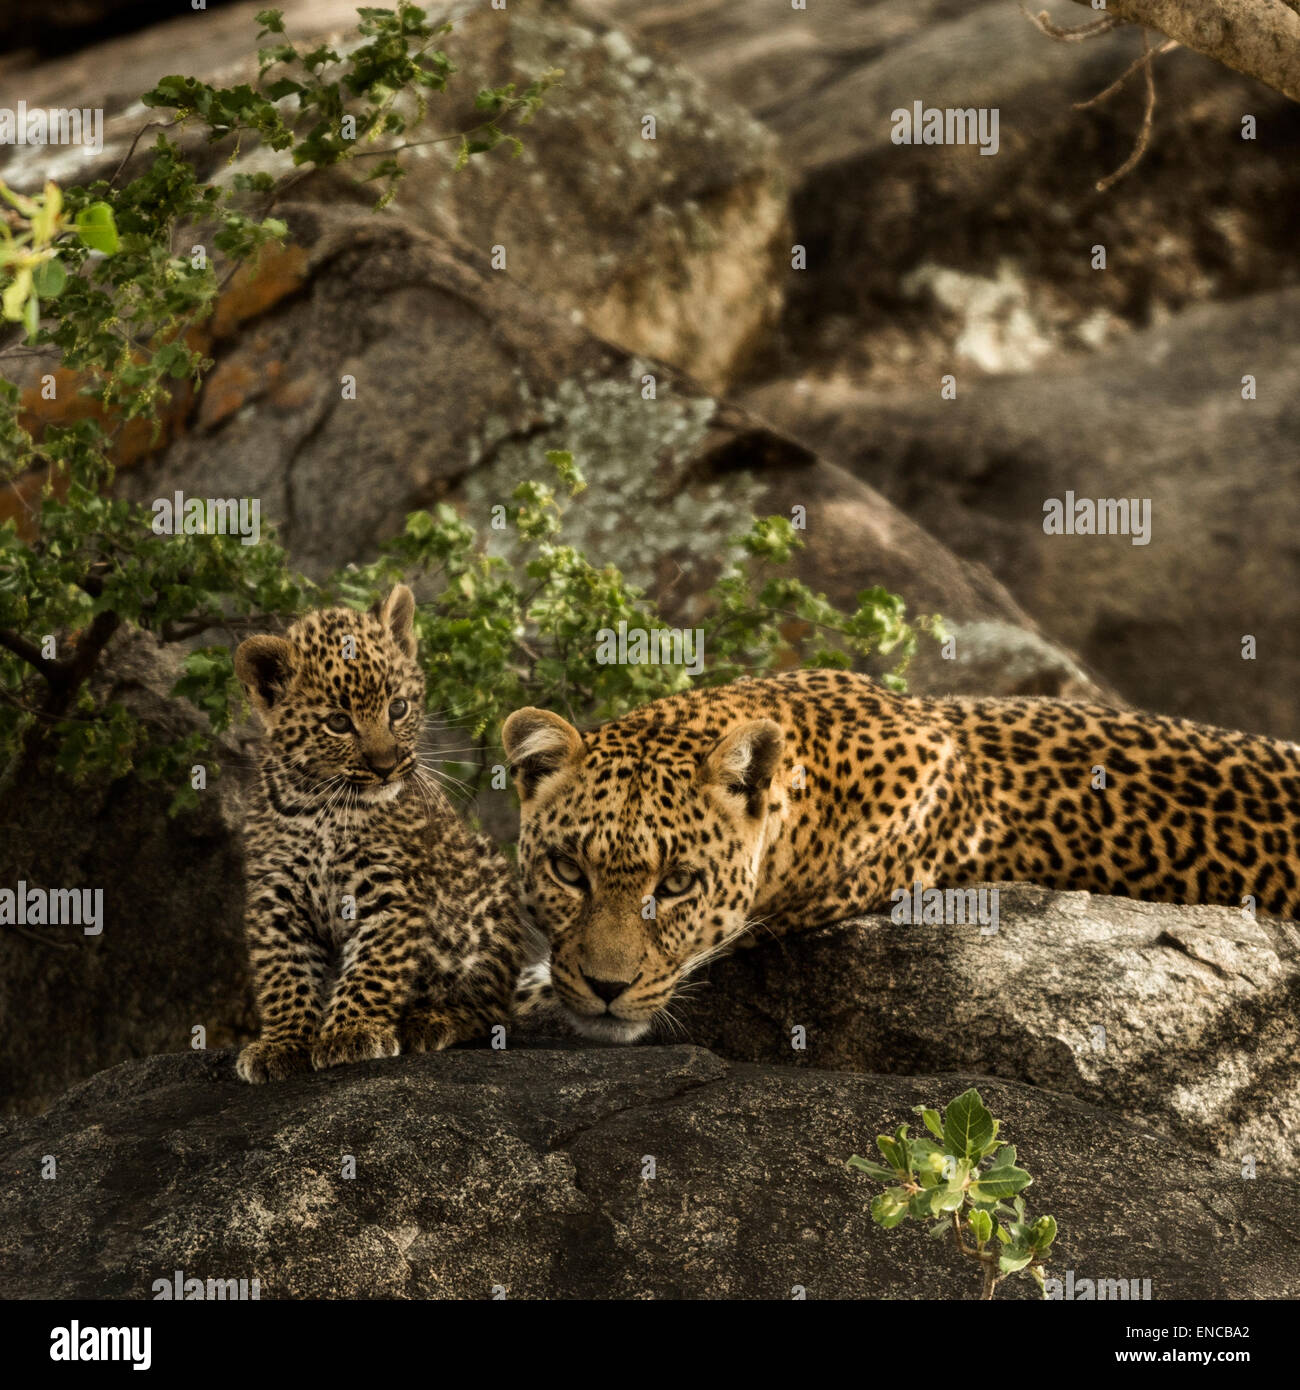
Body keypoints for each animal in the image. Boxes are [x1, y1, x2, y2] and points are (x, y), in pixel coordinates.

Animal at [233, 584, 532, 1083]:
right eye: (338, 722)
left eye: (398, 708)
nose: (387, 765)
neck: (324, 807)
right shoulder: (276, 894)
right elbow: (283, 972)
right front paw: (283, 1044)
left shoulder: (390, 889)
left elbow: (373, 966)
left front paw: (351, 1033)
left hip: (487, 903)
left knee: (490, 1008)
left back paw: (430, 1021)